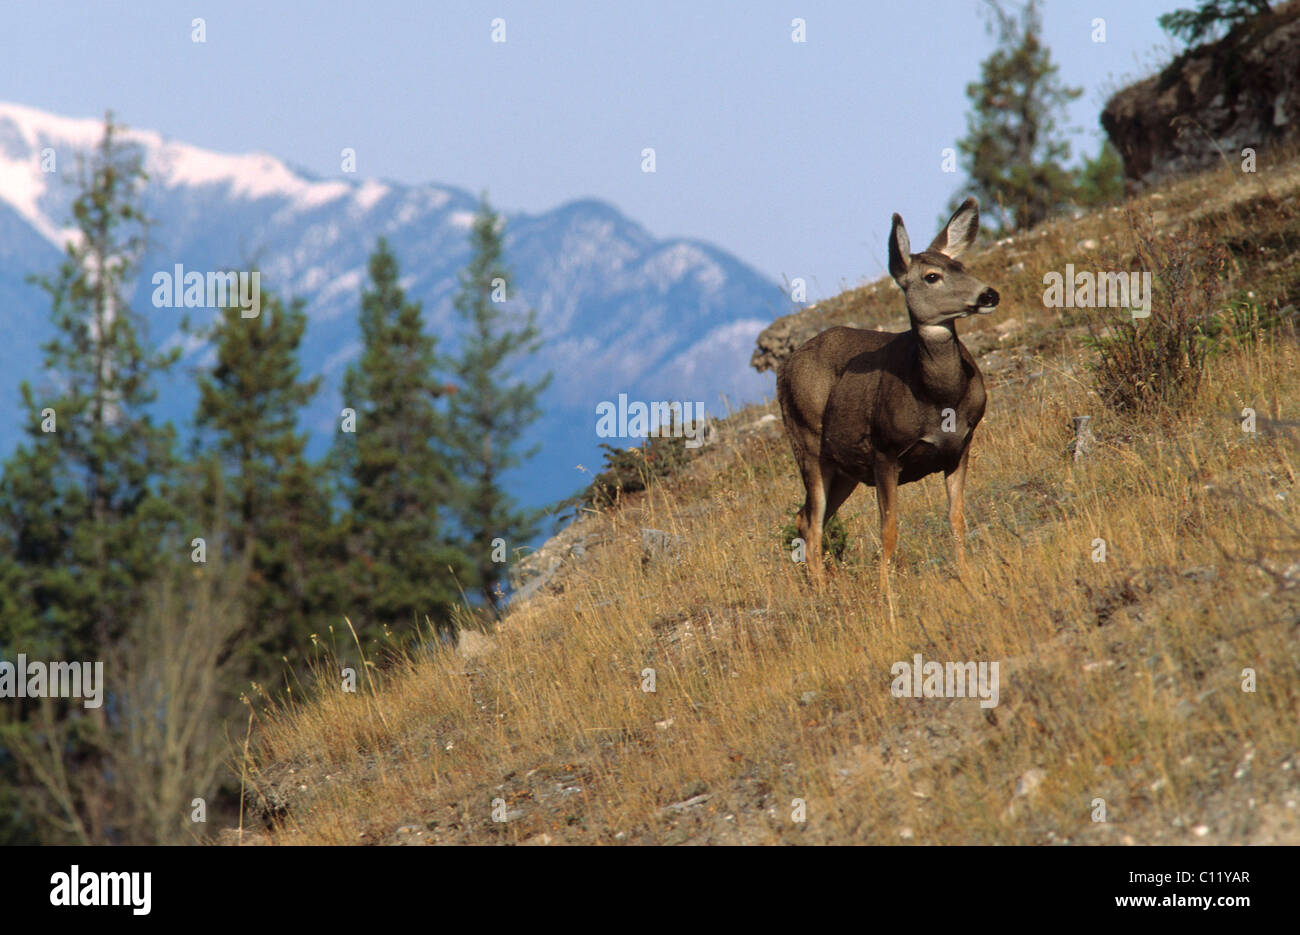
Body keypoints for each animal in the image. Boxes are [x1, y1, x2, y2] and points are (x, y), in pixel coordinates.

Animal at [777, 197, 999, 599]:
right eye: (931, 276)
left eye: (962, 265)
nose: (989, 294)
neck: (937, 399)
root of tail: (783, 369)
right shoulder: (885, 451)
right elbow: (889, 529)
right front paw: (885, 593)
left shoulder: (961, 445)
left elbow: (956, 517)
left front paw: (968, 577)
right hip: (807, 445)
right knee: (812, 522)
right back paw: (821, 591)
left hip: (843, 468)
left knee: (805, 517)